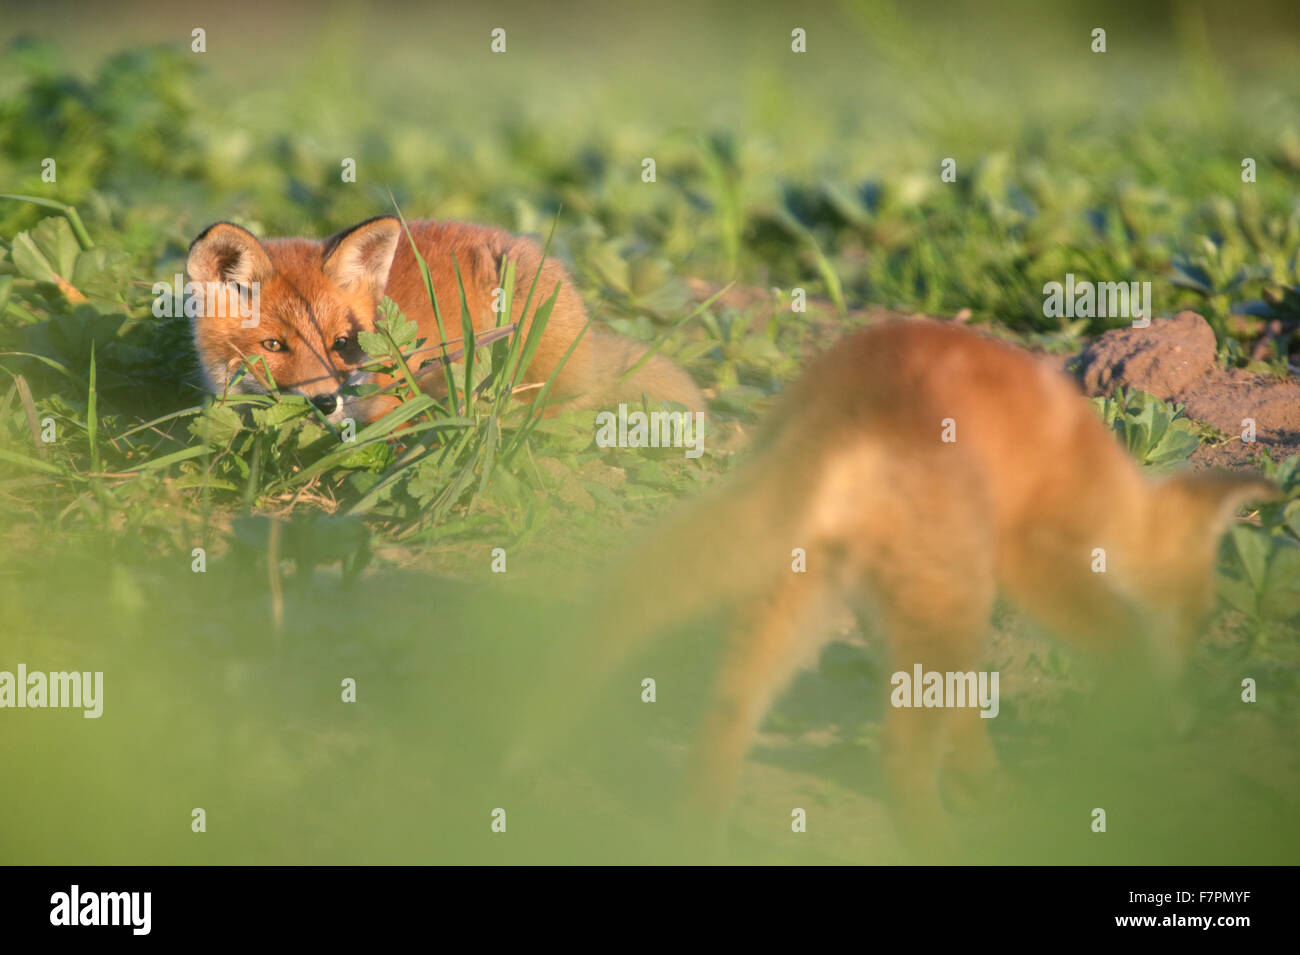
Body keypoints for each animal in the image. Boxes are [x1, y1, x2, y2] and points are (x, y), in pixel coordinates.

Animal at [507, 316, 1278, 852]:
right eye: (1201, 616)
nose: (1195, 701)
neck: (1109, 487)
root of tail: (854, 408)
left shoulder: (893, 617)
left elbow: (964, 724)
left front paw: (995, 795)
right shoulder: (1028, 558)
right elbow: (1109, 642)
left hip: (806, 596)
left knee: (717, 700)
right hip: (947, 597)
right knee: (899, 758)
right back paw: (938, 846)